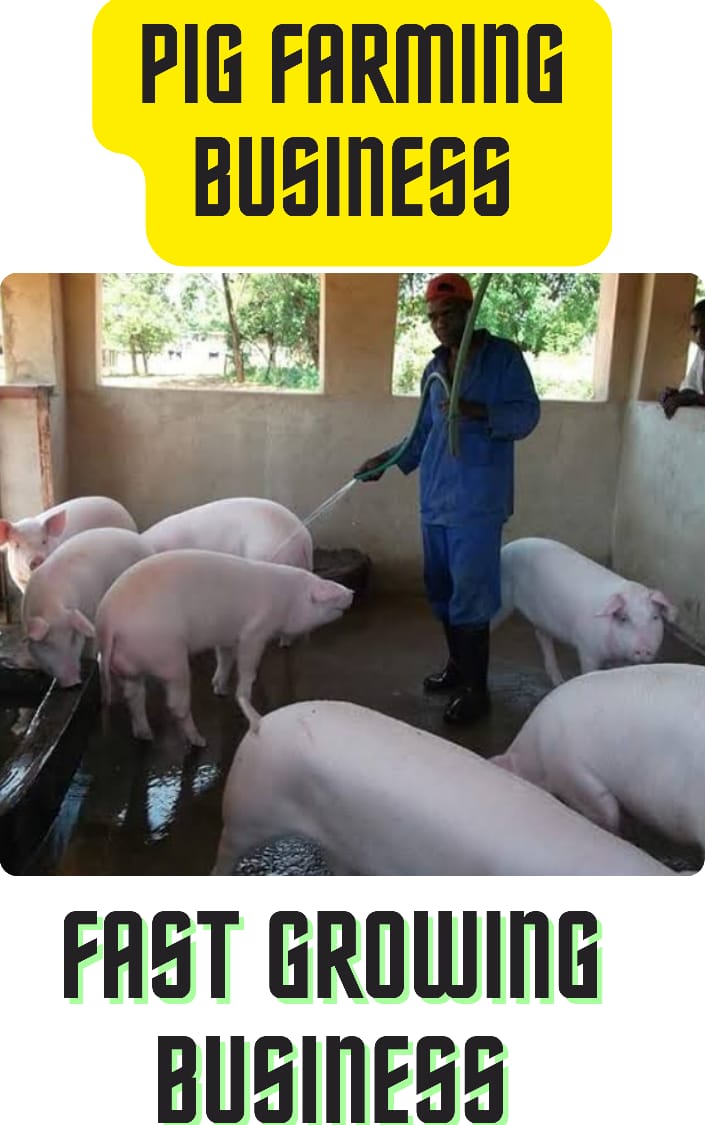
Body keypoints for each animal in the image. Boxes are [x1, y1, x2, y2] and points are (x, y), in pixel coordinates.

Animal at [21, 527, 151, 687]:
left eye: (73, 638)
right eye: (47, 644)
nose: (73, 682)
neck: (51, 606)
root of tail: (145, 543)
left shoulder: (90, 612)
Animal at [95, 550, 353, 747]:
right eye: (325, 589)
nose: (351, 591)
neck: (288, 600)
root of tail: (108, 621)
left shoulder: (227, 635)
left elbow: (225, 659)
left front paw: (219, 689)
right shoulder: (255, 631)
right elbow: (248, 666)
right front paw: (245, 699)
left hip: (129, 663)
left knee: (134, 696)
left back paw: (145, 736)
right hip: (169, 657)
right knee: (175, 705)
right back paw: (199, 741)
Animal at [496, 537, 677, 686]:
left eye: (655, 617)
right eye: (624, 618)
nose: (644, 649)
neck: (613, 653)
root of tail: (506, 548)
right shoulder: (587, 649)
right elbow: (588, 670)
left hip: (542, 618)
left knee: (542, 636)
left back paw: (559, 681)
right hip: (503, 603)